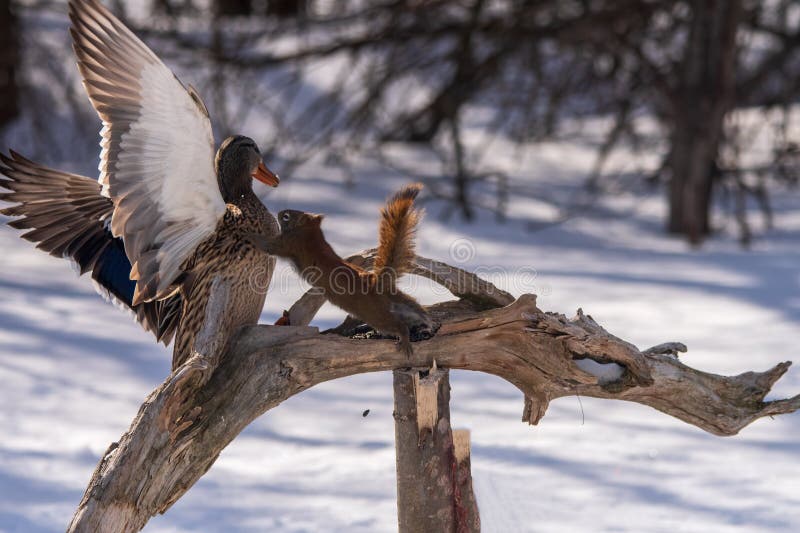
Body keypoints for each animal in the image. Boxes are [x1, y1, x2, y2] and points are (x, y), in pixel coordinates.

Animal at [249, 183, 433, 356]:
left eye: (286, 216)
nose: (280, 212)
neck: (310, 232)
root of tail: (376, 283)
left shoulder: (289, 243)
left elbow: (267, 245)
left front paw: (249, 234)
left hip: (375, 314)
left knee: (397, 325)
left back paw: (405, 339)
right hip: (395, 301)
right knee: (411, 308)